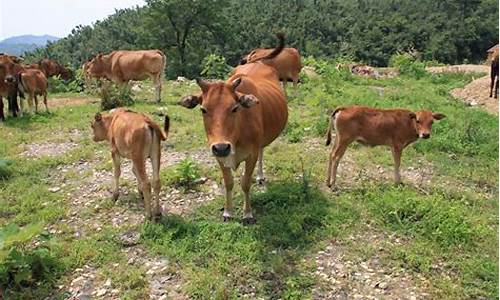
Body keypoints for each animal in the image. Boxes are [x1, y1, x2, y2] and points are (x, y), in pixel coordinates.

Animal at [181, 34, 290, 223]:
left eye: (234, 108)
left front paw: (247, 213)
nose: (222, 147)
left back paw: (260, 176)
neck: (235, 137)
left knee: (262, 152)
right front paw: (228, 212)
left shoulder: (251, 154)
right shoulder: (218, 155)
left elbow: (245, 182)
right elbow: (229, 183)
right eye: (203, 109)